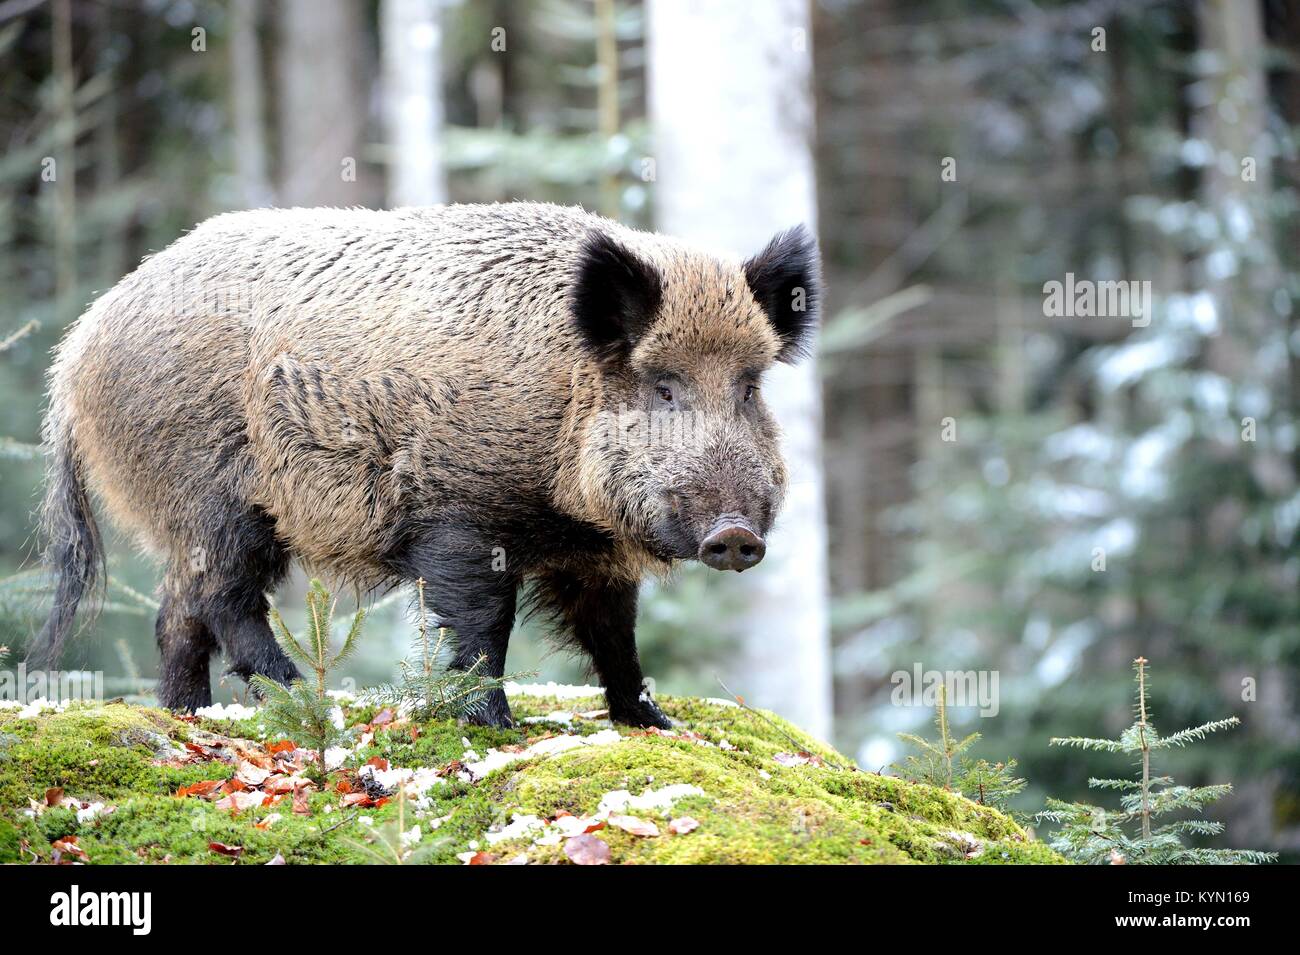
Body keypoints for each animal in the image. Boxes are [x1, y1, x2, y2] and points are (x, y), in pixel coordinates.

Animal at [29, 202, 820, 728]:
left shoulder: (592, 553)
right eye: (662, 385)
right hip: (216, 494)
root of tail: (75, 351)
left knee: (178, 613)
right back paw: (305, 697)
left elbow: (614, 632)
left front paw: (655, 723)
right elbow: (480, 627)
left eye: (750, 386)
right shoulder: (459, 513)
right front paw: (494, 724)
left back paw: (187, 717)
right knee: (224, 599)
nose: (735, 534)